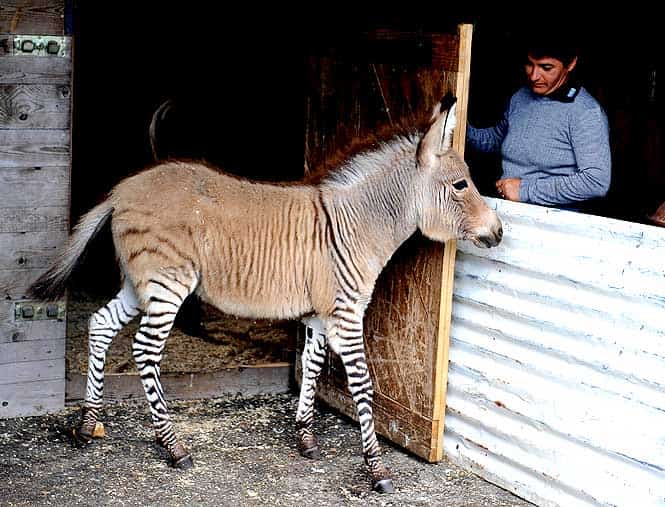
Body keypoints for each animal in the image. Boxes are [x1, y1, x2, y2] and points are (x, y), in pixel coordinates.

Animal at [28, 94, 502, 493]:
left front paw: (306, 438)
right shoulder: (346, 312)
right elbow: (362, 384)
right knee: (145, 349)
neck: (357, 224)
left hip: (138, 282)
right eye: (461, 185)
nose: (499, 232)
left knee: (101, 324)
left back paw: (88, 426)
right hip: (167, 283)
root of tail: (121, 190)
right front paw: (377, 469)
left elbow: (311, 366)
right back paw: (173, 446)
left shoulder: (318, 314)